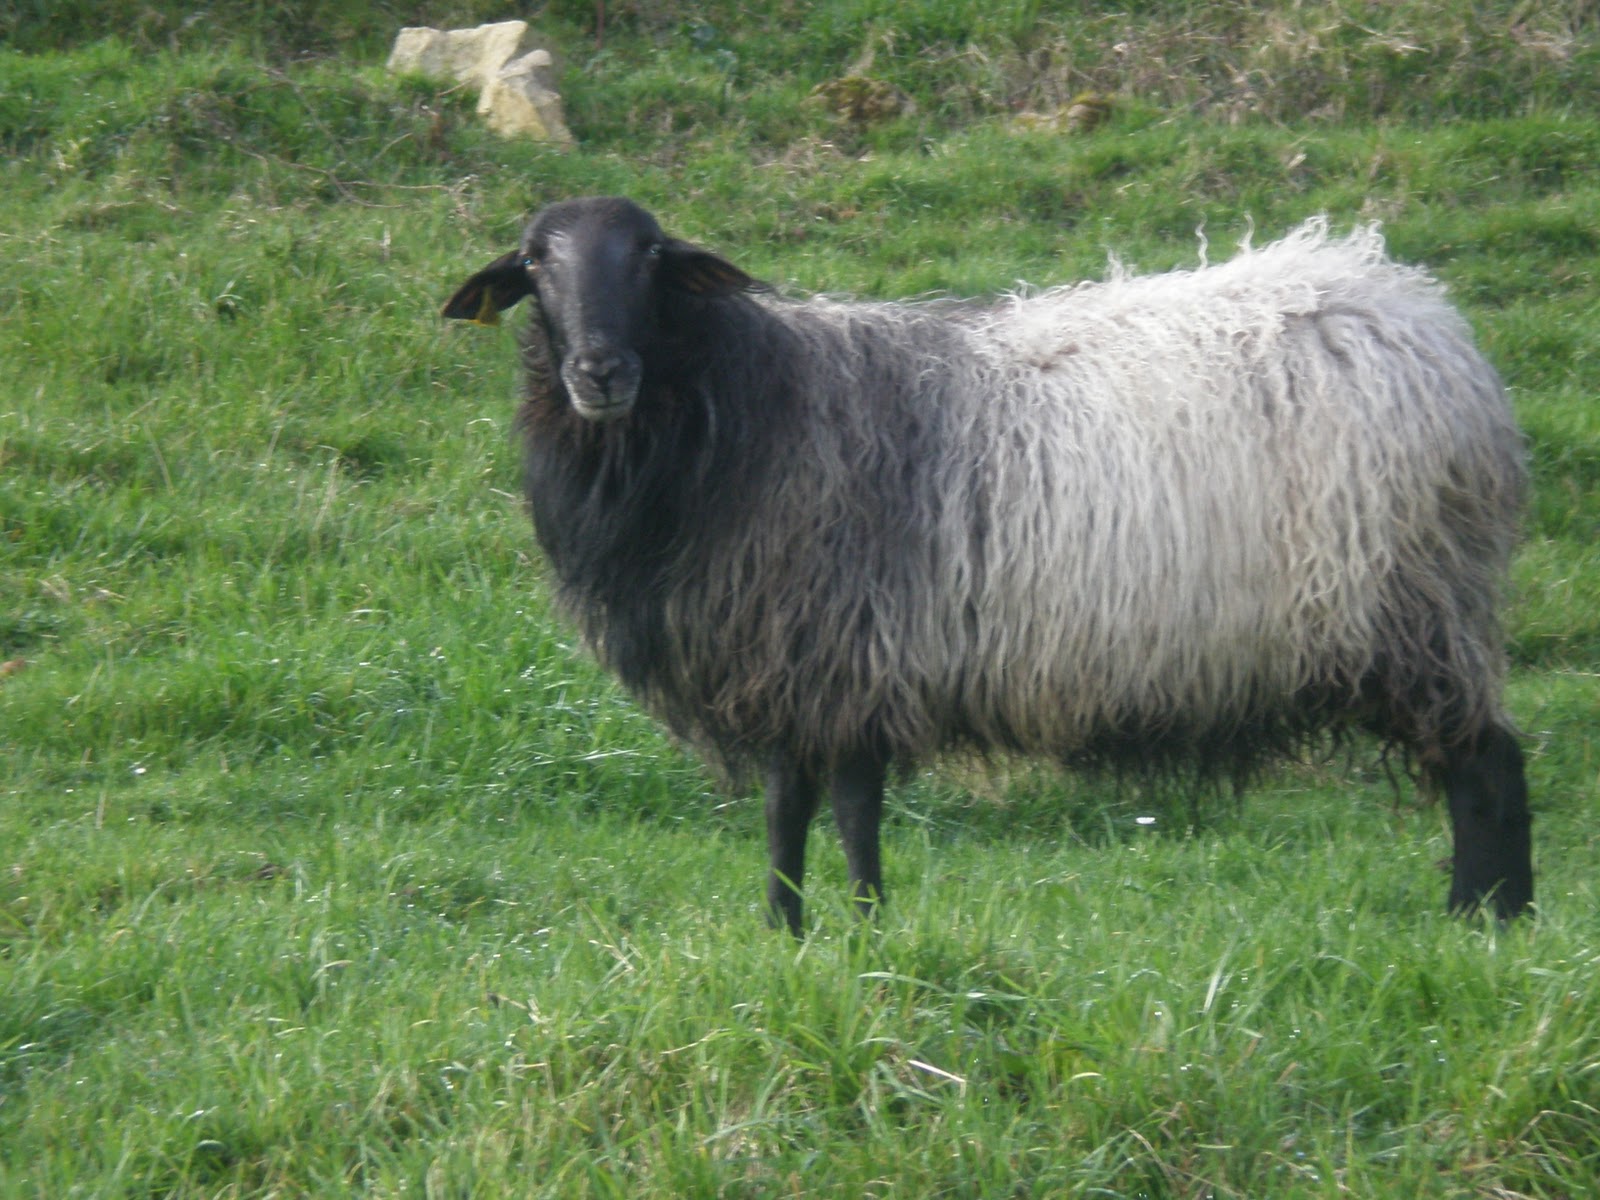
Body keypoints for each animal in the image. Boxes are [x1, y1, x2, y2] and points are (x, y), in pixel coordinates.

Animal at [442, 196, 1533, 933]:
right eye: (535, 261)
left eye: (651, 257)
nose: (599, 371)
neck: (733, 404)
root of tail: (1428, 326)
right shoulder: (790, 662)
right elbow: (786, 813)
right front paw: (784, 935)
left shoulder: (853, 651)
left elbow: (852, 812)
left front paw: (868, 935)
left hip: (1407, 605)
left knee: (1486, 763)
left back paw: (1485, 922)